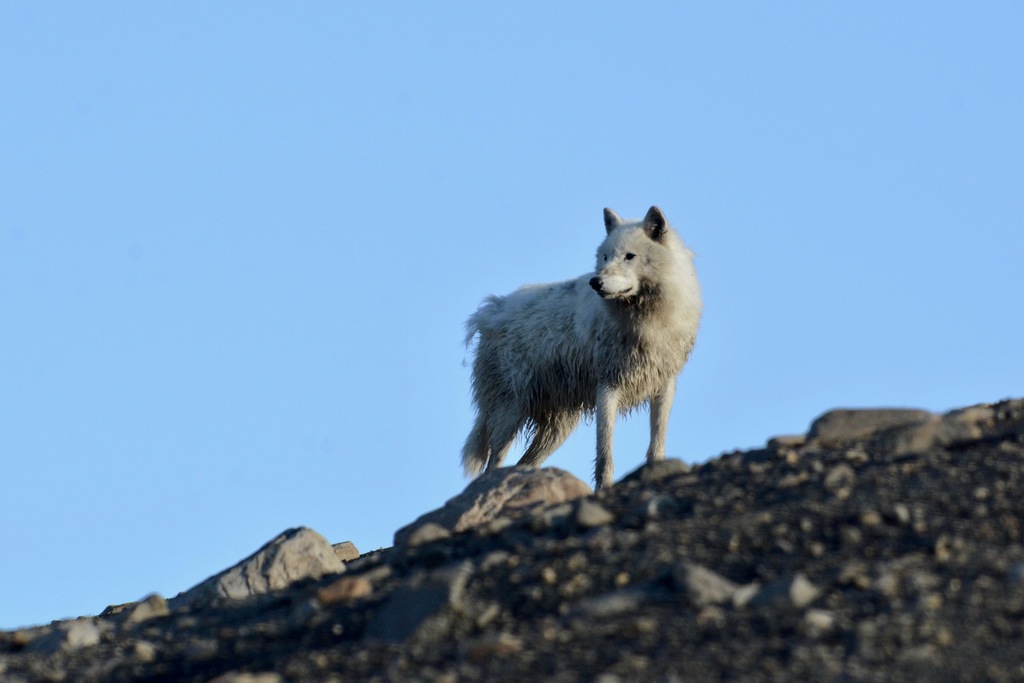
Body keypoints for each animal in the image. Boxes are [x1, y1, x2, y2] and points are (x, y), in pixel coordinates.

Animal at [461, 206, 702, 489]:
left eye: (629, 256)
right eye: (605, 257)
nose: (595, 282)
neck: (645, 321)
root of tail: (490, 311)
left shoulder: (664, 387)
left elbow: (656, 447)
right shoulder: (607, 387)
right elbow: (605, 456)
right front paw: (604, 489)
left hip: (556, 428)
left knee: (523, 464)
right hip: (509, 414)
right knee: (493, 464)